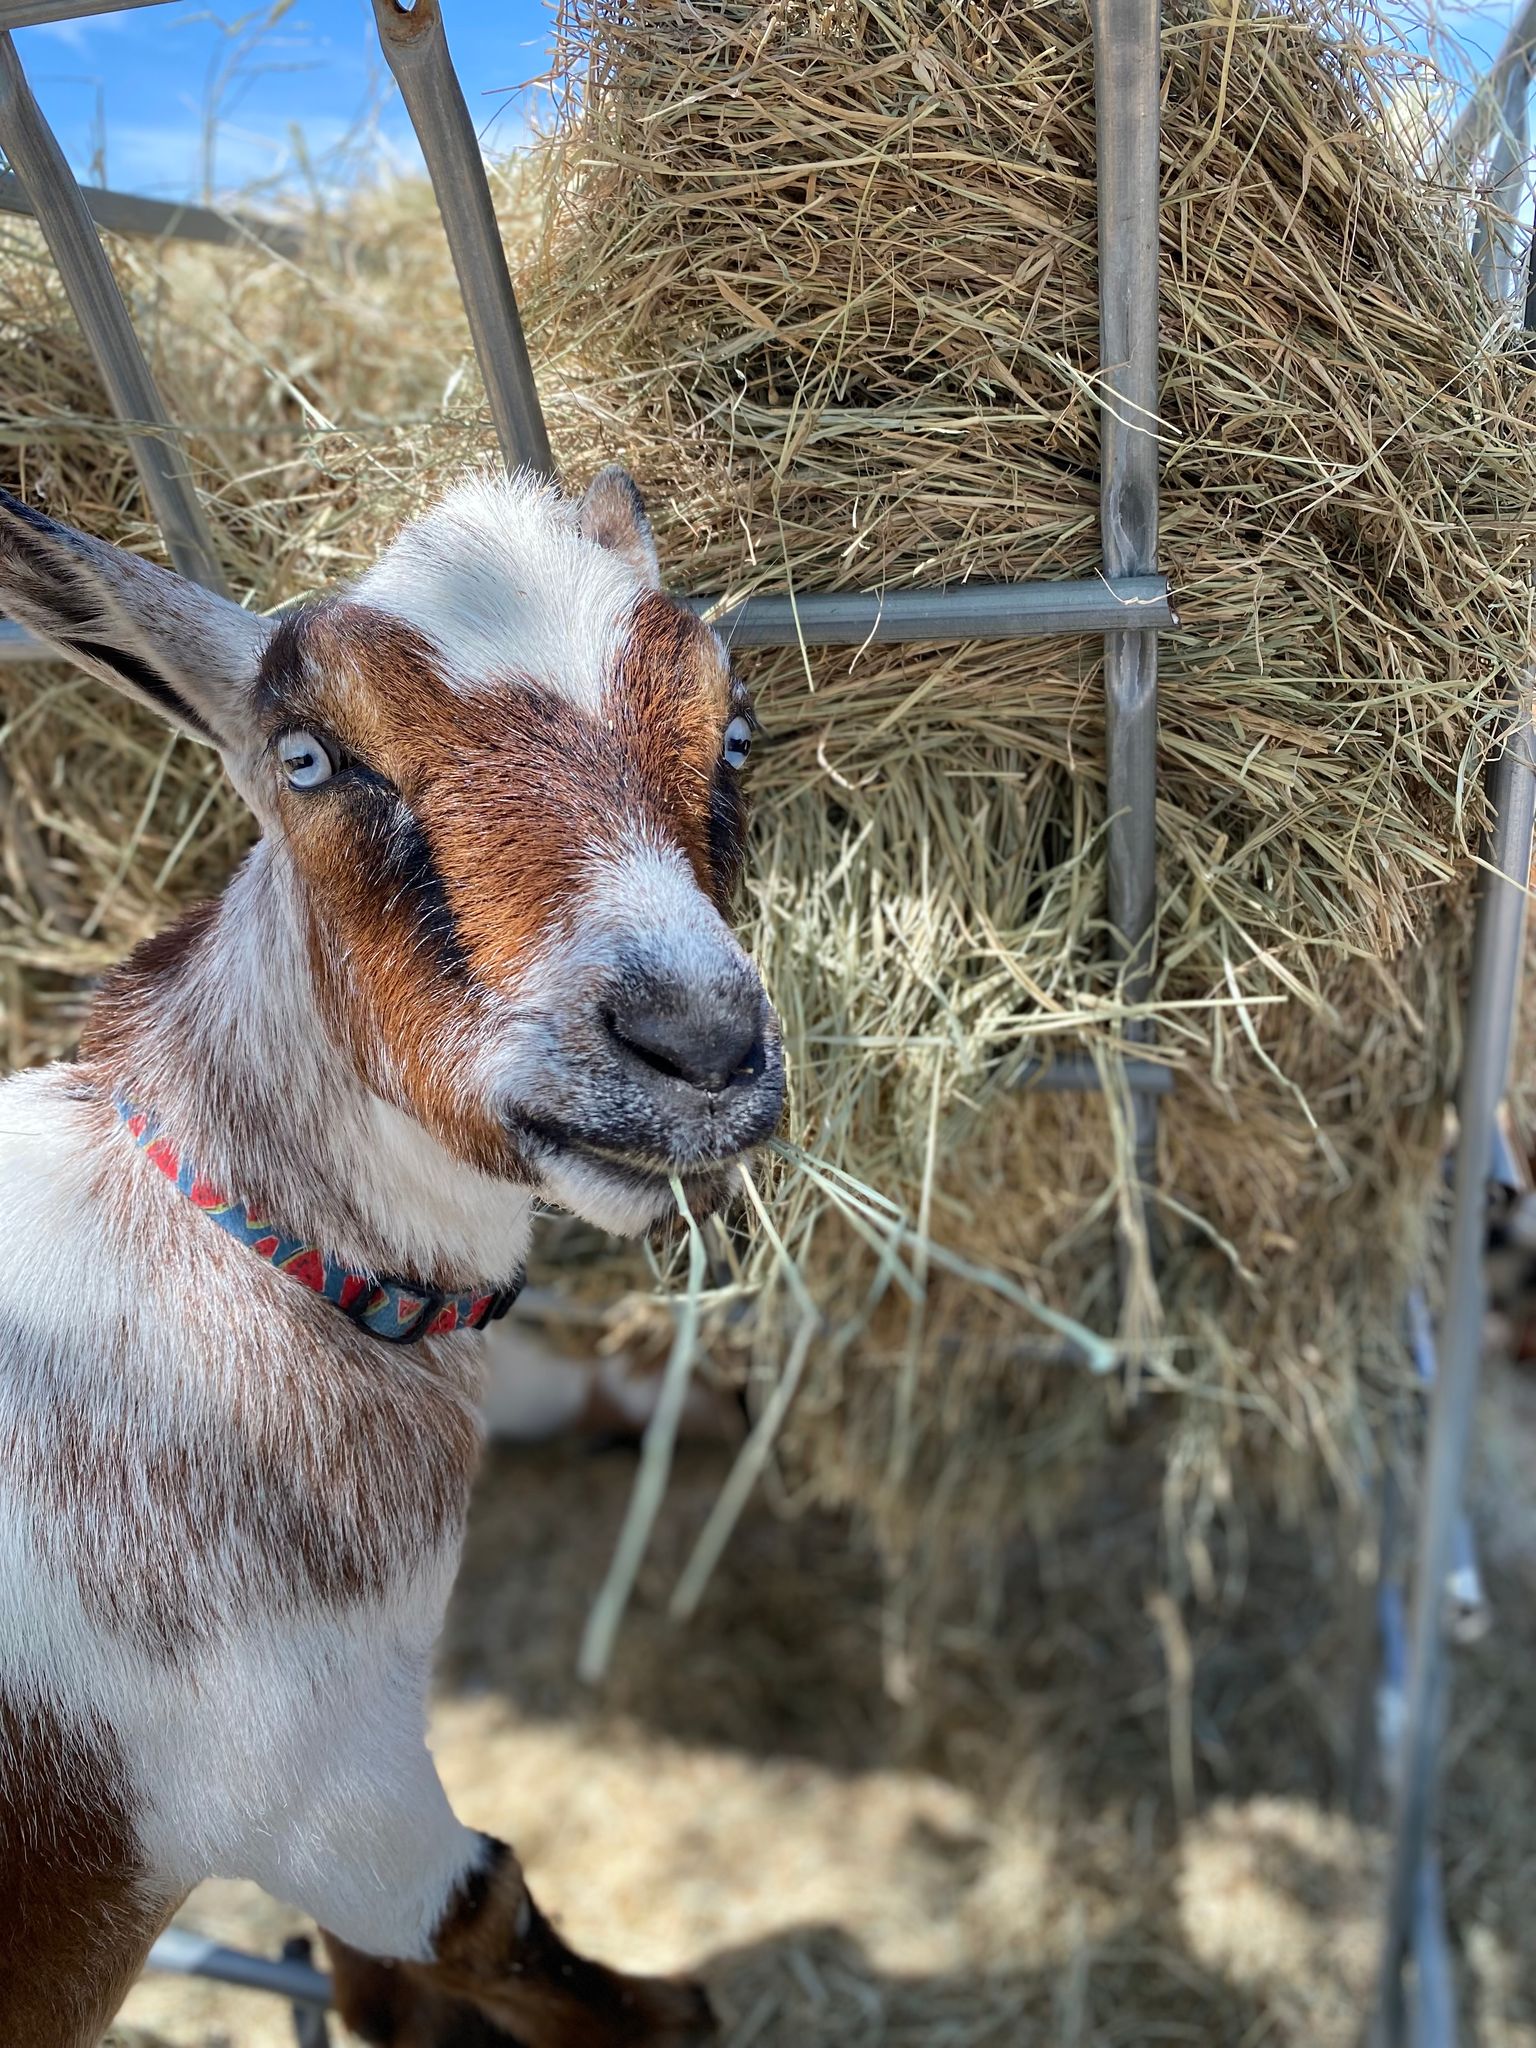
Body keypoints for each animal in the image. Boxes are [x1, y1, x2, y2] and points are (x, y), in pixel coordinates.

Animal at [0, 468, 783, 2048]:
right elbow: (497, 1914)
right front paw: (678, 2011)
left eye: (733, 731)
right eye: (308, 757)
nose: (698, 1041)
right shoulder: (312, 1780)